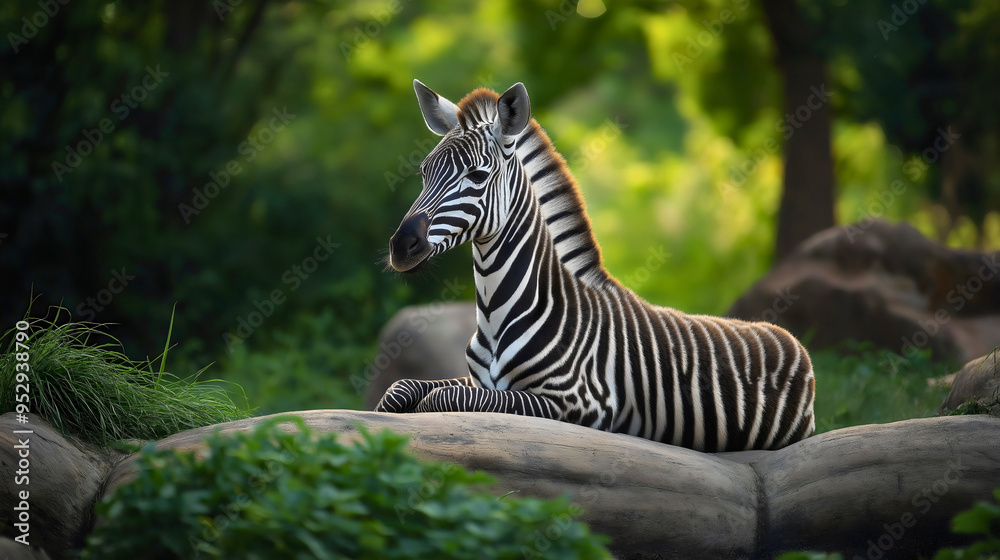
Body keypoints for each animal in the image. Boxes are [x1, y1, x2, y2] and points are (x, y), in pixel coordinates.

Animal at [375, 80, 815, 452]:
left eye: (478, 175)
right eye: (424, 172)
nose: (400, 246)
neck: (499, 312)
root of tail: (789, 339)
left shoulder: (578, 402)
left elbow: (442, 396)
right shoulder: (475, 379)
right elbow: (401, 389)